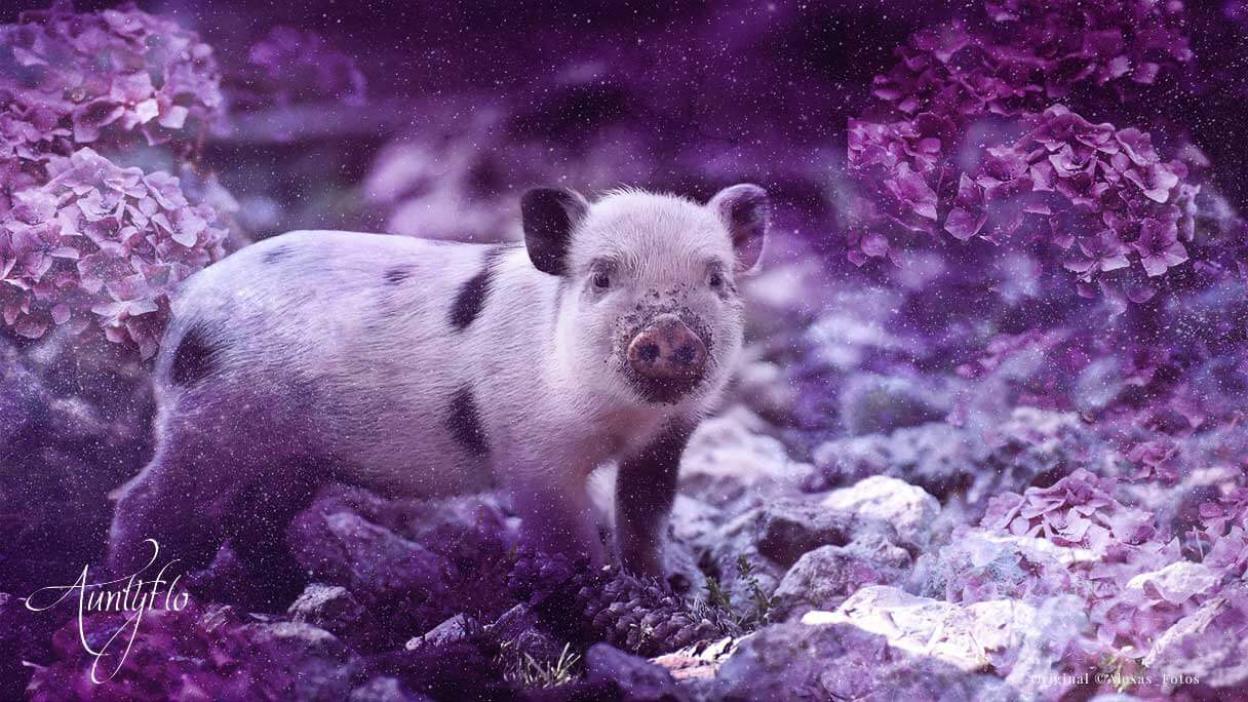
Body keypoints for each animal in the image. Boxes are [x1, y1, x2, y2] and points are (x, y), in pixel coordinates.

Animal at [106, 184, 769, 581]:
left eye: (716, 279)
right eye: (601, 278)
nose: (669, 330)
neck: (622, 419)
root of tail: (182, 304)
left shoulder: (667, 441)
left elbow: (645, 518)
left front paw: (658, 587)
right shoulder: (532, 449)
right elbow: (566, 531)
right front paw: (593, 593)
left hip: (286, 458)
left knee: (252, 519)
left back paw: (296, 589)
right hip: (208, 428)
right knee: (144, 499)